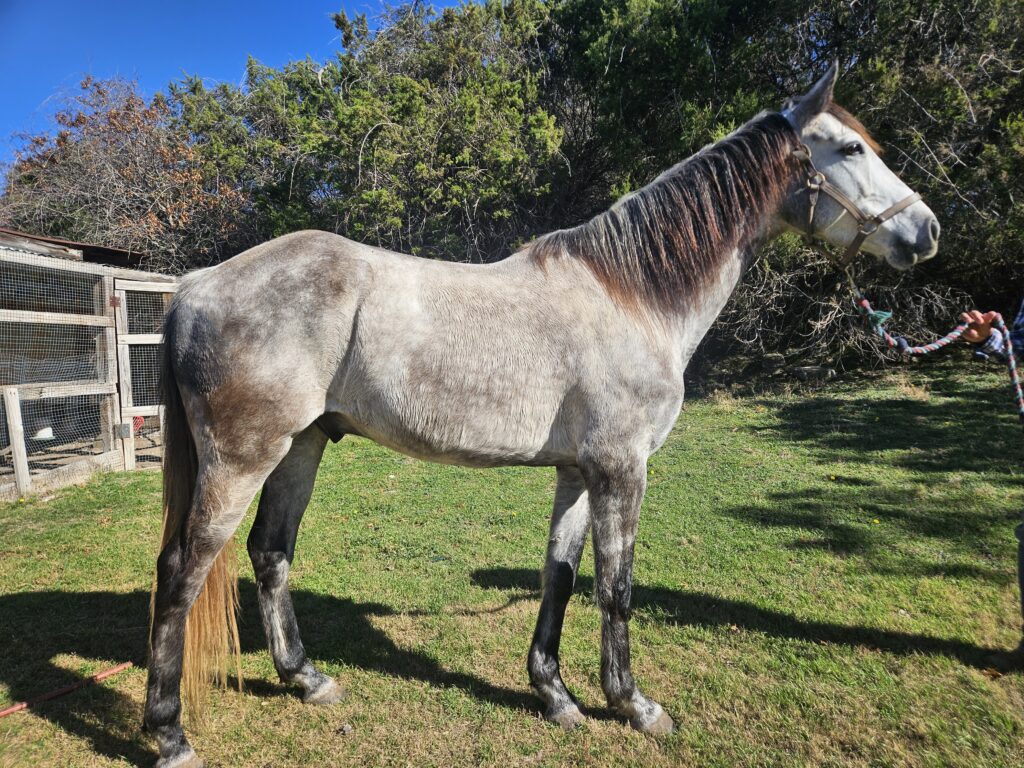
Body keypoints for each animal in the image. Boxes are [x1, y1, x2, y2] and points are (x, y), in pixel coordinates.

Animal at [144, 64, 940, 767]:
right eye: (851, 148)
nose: (927, 232)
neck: (633, 296)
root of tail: (198, 282)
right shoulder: (622, 468)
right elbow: (616, 588)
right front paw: (634, 704)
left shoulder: (578, 472)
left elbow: (559, 574)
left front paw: (555, 696)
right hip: (241, 459)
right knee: (181, 570)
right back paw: (170, 736)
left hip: (302, 447)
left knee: (270, 553)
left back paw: (307, 679)